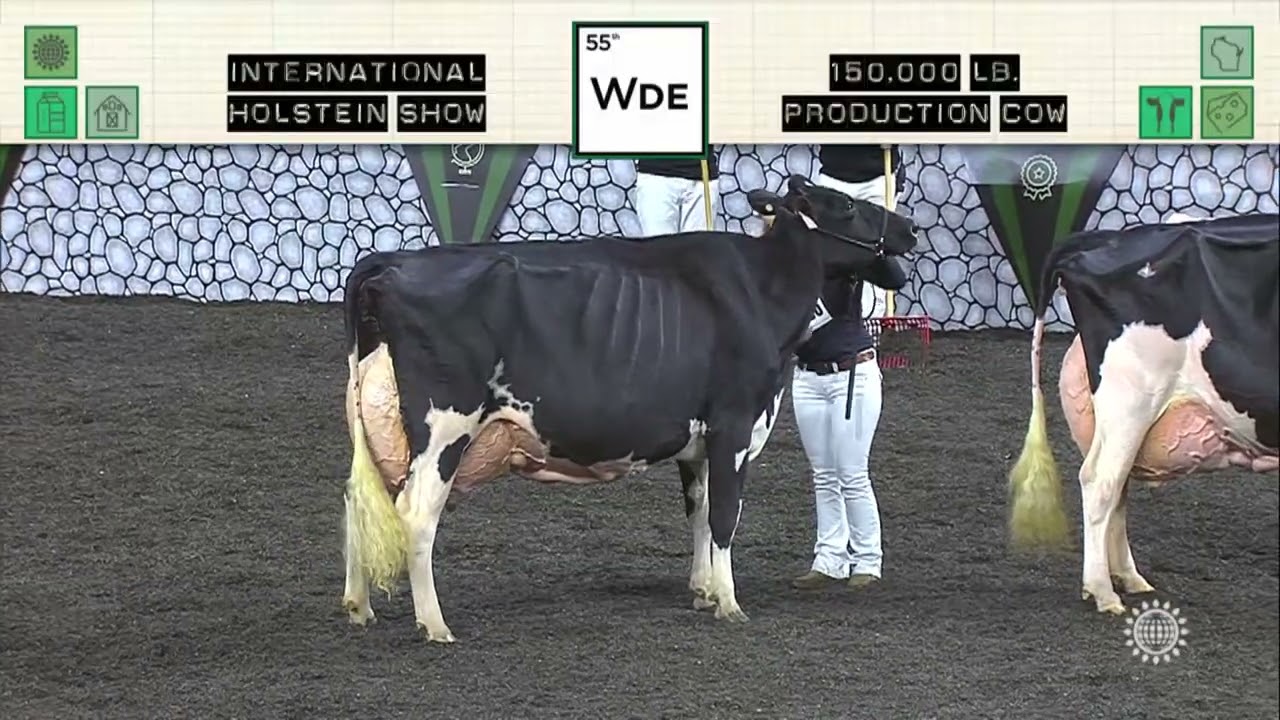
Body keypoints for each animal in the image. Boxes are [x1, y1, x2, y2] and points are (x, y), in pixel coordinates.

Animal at [338, 175, 921, 642]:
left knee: (356, 498)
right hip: (444, 425)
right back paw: (435, 625)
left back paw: (360, 608)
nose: (912, 226)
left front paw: (703, 590)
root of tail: (390, 261)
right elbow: (725, 517)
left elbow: (699, 511)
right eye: (845, 205)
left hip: (373, 423)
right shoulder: (734, 426)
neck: (763, 291)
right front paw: (730, 603)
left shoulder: (697, 439)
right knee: (416, 514)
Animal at [1006, 212, 1279, 614]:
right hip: (1131, 400)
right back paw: (1104, 591)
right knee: (1100, 483)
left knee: (1117, 486)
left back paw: (1128, 578)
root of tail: (1110, 239)